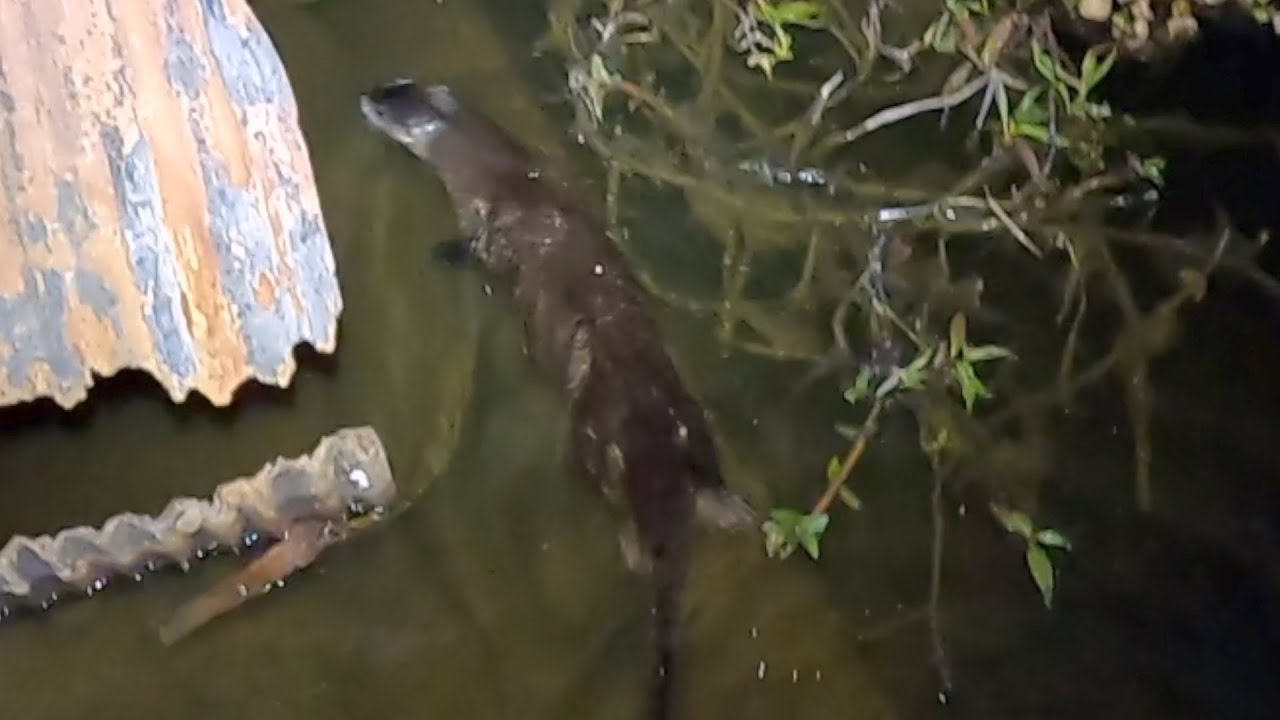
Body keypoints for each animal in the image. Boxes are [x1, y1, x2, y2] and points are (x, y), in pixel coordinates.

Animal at [359, 78, 755, 718]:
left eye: (387, 105)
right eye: (390, 85)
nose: (363, 95)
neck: (507, 177)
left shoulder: (489, 224)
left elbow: (477, 249)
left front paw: (444, 252)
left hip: (590, 443)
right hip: (693, 427)